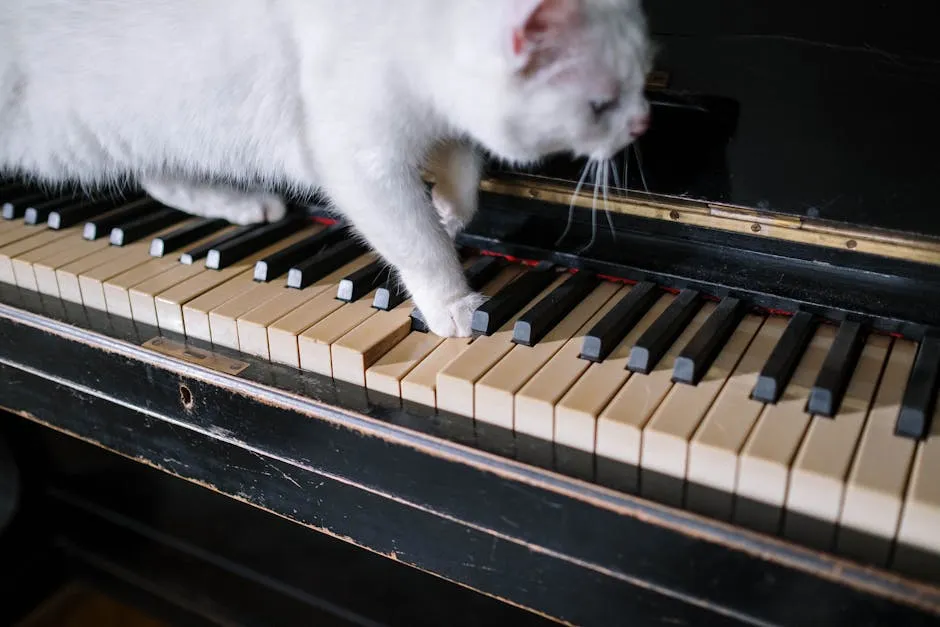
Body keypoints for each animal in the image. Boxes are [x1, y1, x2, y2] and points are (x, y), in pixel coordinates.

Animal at [0, 0, 648, 338]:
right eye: (602, 105)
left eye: (646, 79)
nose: (642, 123)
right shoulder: (363, 162)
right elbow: (419, 245)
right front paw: (455, 306)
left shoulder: (444, 128)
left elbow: (462, 177)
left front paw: (449, 212)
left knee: (159, 173)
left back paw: (241, 204)